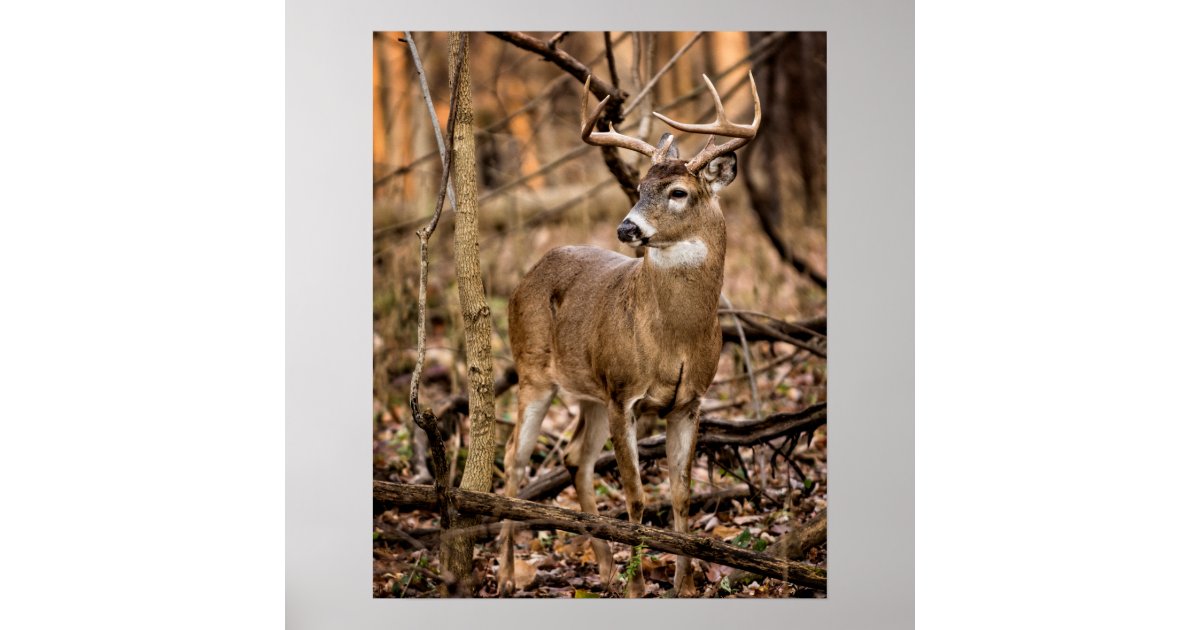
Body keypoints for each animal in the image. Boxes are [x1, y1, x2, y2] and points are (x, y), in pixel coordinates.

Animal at [497, 72, 760, 598]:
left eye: (678, 191)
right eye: (638, 186)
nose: (626, 227)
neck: (675, 338)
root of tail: (527, 274)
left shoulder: (689, 402)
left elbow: (681, 496)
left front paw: (685, 585)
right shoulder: (625, 394)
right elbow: (637, 498)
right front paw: (640, 586)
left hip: (591, 393)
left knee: (575, 458)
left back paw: (604, 570)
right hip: (533, 369)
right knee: (515, 458)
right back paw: (507, 576)